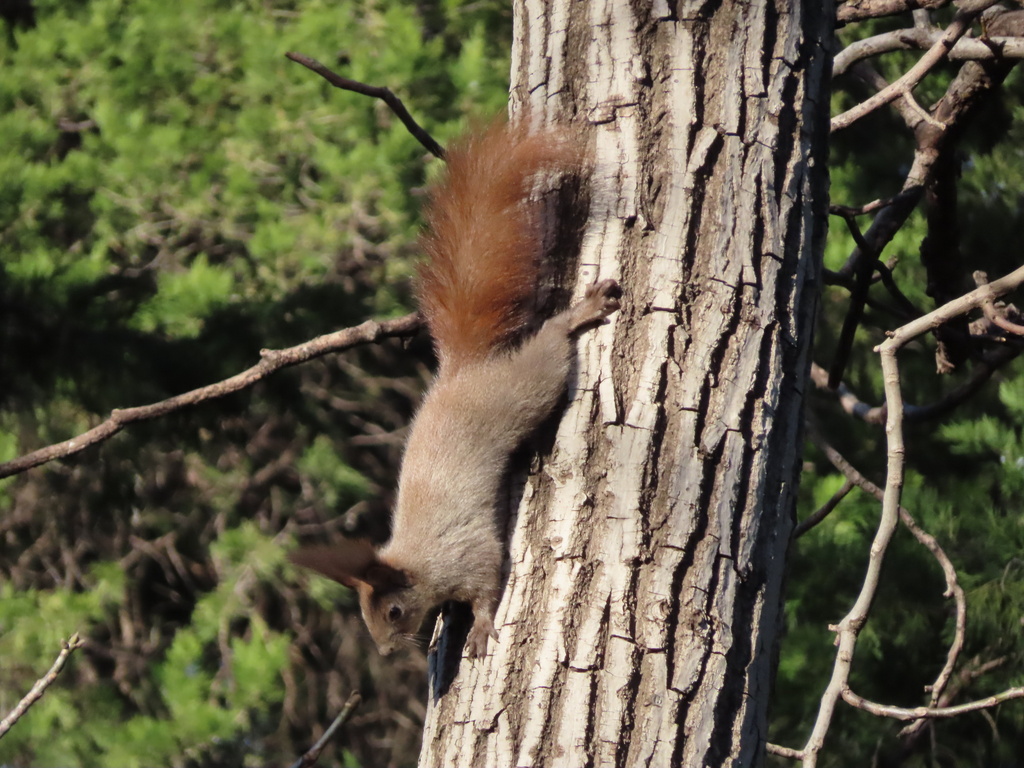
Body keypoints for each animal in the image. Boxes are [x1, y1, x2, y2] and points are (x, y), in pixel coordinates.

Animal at [291, 120, 621, 658]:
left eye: (393, 612)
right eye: (365, 616)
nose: (386, 651)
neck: (419, 562)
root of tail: (460, 372)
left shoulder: (468, 553)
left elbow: (487, 585)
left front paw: (482, 628)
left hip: (526, 386)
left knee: (550, 346)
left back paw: (580, 313)